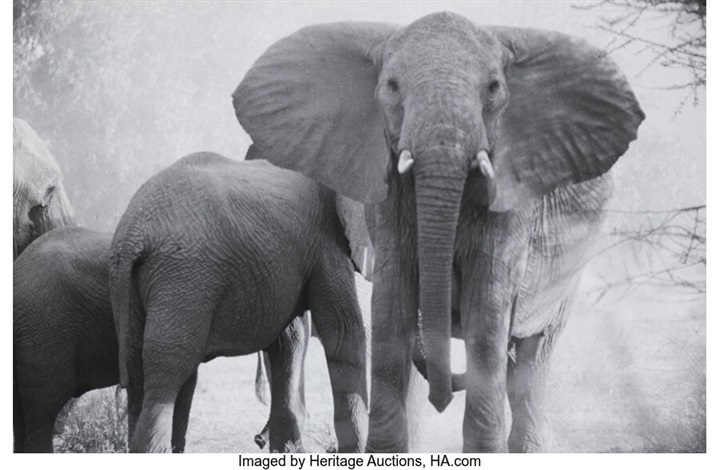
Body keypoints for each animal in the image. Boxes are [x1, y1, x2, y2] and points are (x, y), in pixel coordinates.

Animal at [110, 152, 370, 453]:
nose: (258, 440)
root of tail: (132, 233)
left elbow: (289, 342)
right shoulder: (325, 242)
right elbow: (343, 333)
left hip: (132, 284)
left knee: (139, 370)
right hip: (183, 277)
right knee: (169, 369)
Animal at [232, 11, 645, 452]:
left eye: (494, 88)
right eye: (392, 86)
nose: (442, 398)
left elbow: (486, 308)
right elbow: (391, 304)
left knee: (535, 352)